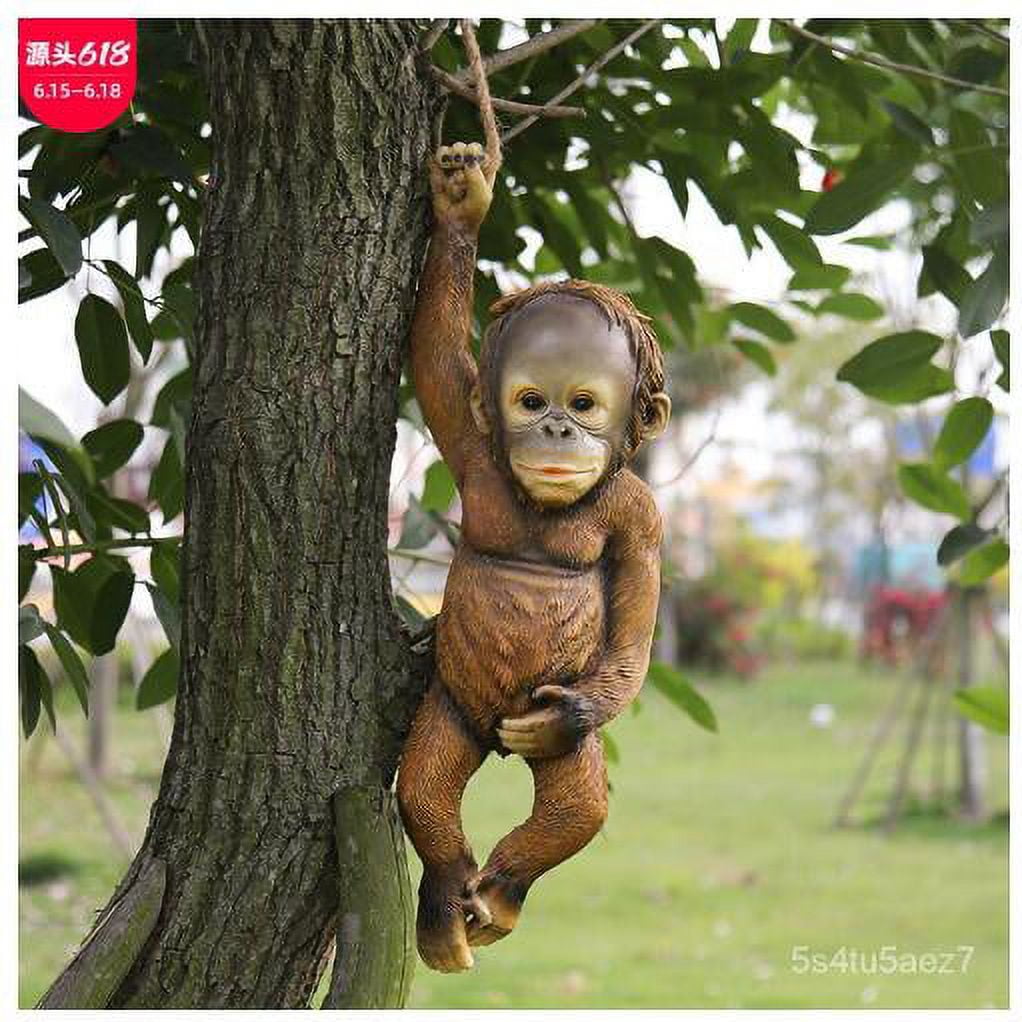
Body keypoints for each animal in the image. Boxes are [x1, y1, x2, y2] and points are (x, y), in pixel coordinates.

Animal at [396, 141, 671, 973]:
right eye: (529, 400)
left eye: (582, 403)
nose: (554, 429)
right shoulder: (469, 445)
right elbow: (435, 358)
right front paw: (462, 201)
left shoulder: (642, 518)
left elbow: (635, 633)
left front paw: (571, 715)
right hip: (454, 707)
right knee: (424, 786)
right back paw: (449, 906)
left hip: (540, 732)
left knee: (577, 805)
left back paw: (500, 896)